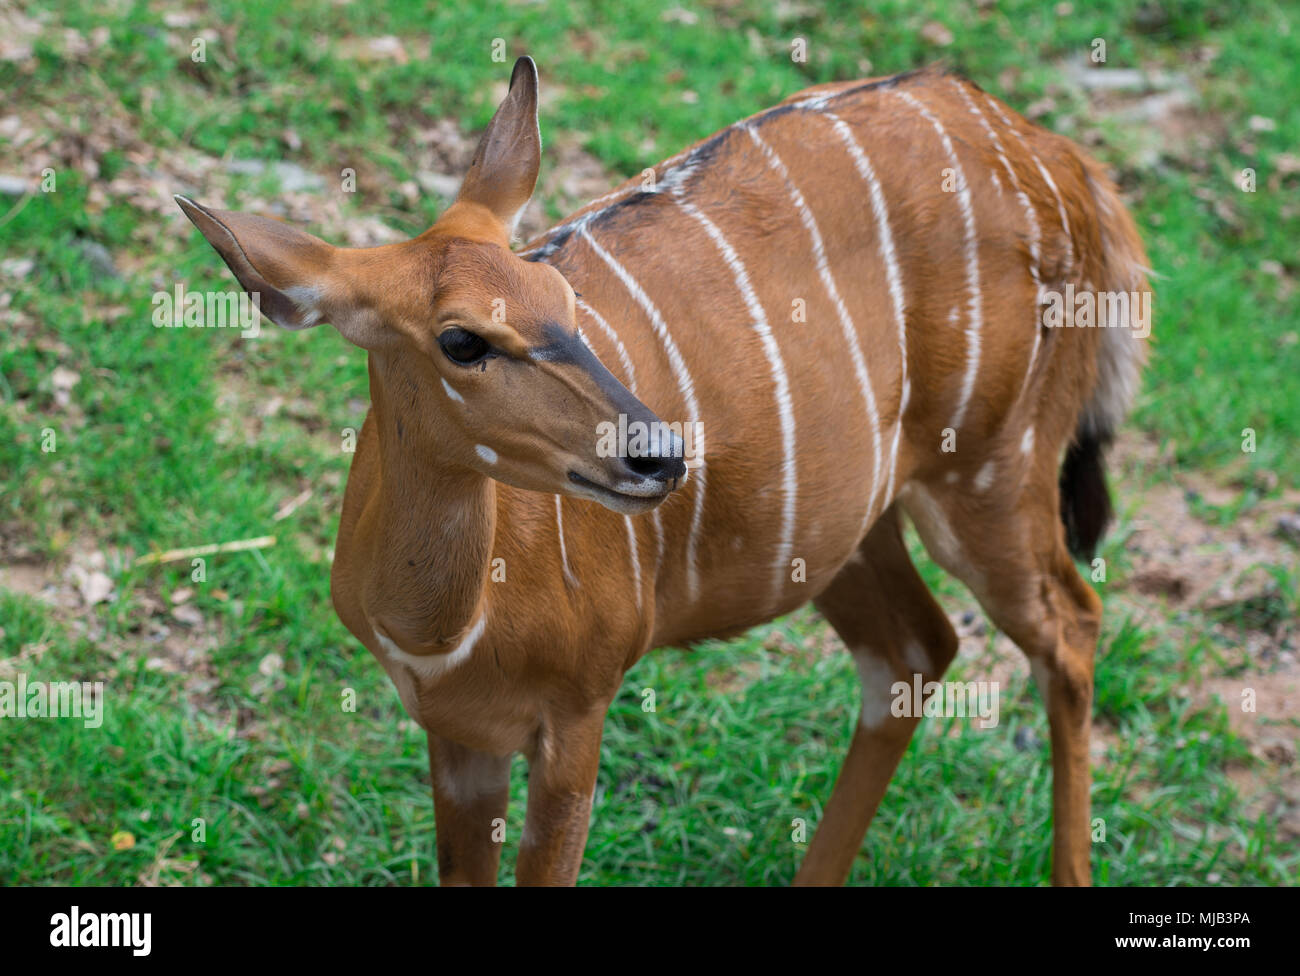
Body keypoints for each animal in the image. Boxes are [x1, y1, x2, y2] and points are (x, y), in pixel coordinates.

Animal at [175, 56, 1150, 886]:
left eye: (566, 298)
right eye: (461, 340)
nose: (658, 451)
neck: (447, 629)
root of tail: (1066, 159)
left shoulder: (578, 710)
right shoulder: (459, 738)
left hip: (994, 469)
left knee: (1070, 622)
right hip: (847, 525)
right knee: (914, 647)